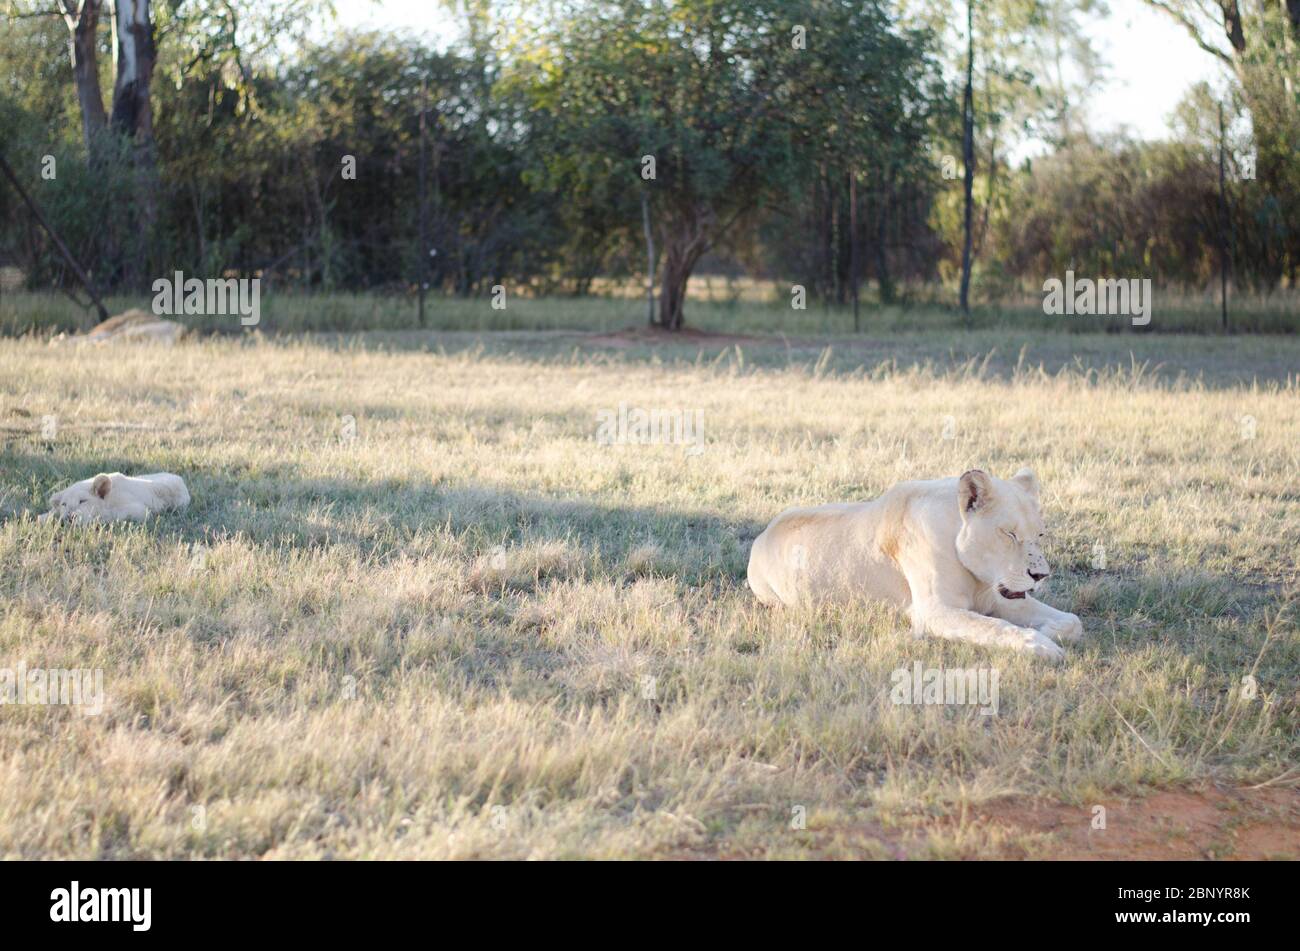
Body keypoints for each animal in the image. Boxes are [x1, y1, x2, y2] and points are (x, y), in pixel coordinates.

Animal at [747, 468, 1083, 662]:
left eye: (1039, 534)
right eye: (1009, 534)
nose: (1040, 576)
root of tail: (764, 532)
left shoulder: (997, 596)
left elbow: (1073, 621)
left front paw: (1049, 631)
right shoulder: (934, 611)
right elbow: (993, 627)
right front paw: (1040, 645)